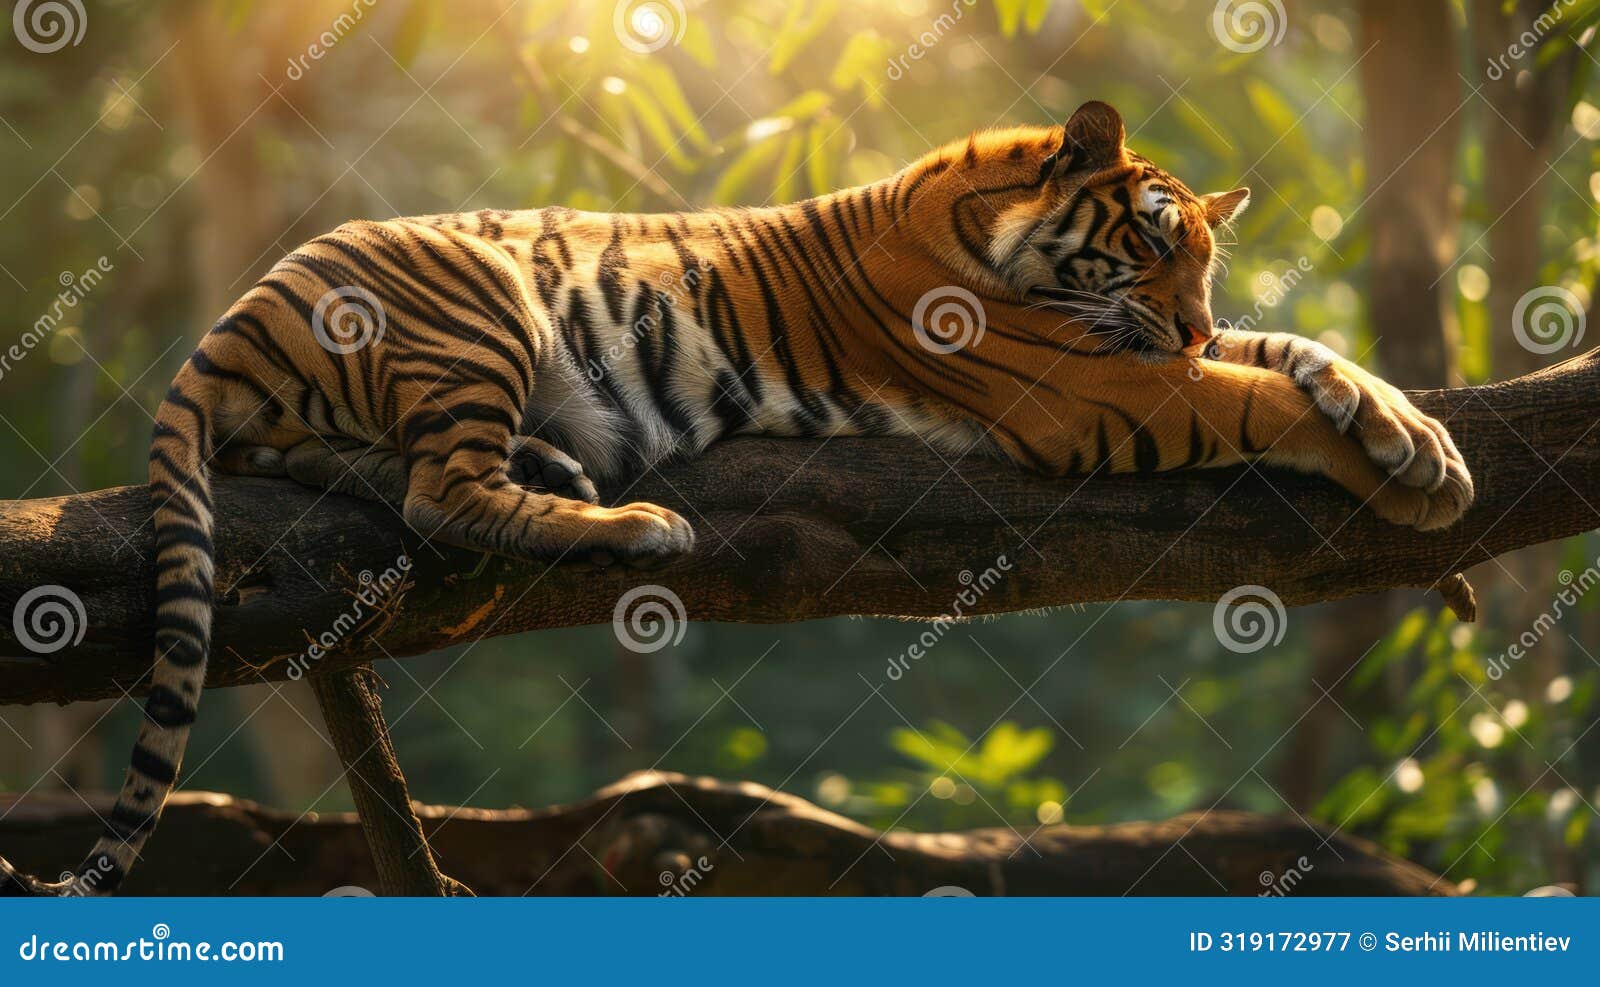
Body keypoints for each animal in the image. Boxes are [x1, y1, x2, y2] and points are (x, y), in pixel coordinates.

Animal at [0, 100, 1472, 896]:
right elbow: (1248, 398)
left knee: (392, 475)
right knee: (437, 493)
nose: (1188, 318)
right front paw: (1416, 483)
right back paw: (627, 518)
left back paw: (557, 470)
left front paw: (1412, 437)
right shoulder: (1081, 387)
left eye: (1209, 261)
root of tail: (235, 311)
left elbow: (1294, 357)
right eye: (1156, 245)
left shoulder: (1124, 364)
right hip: (482, 297)